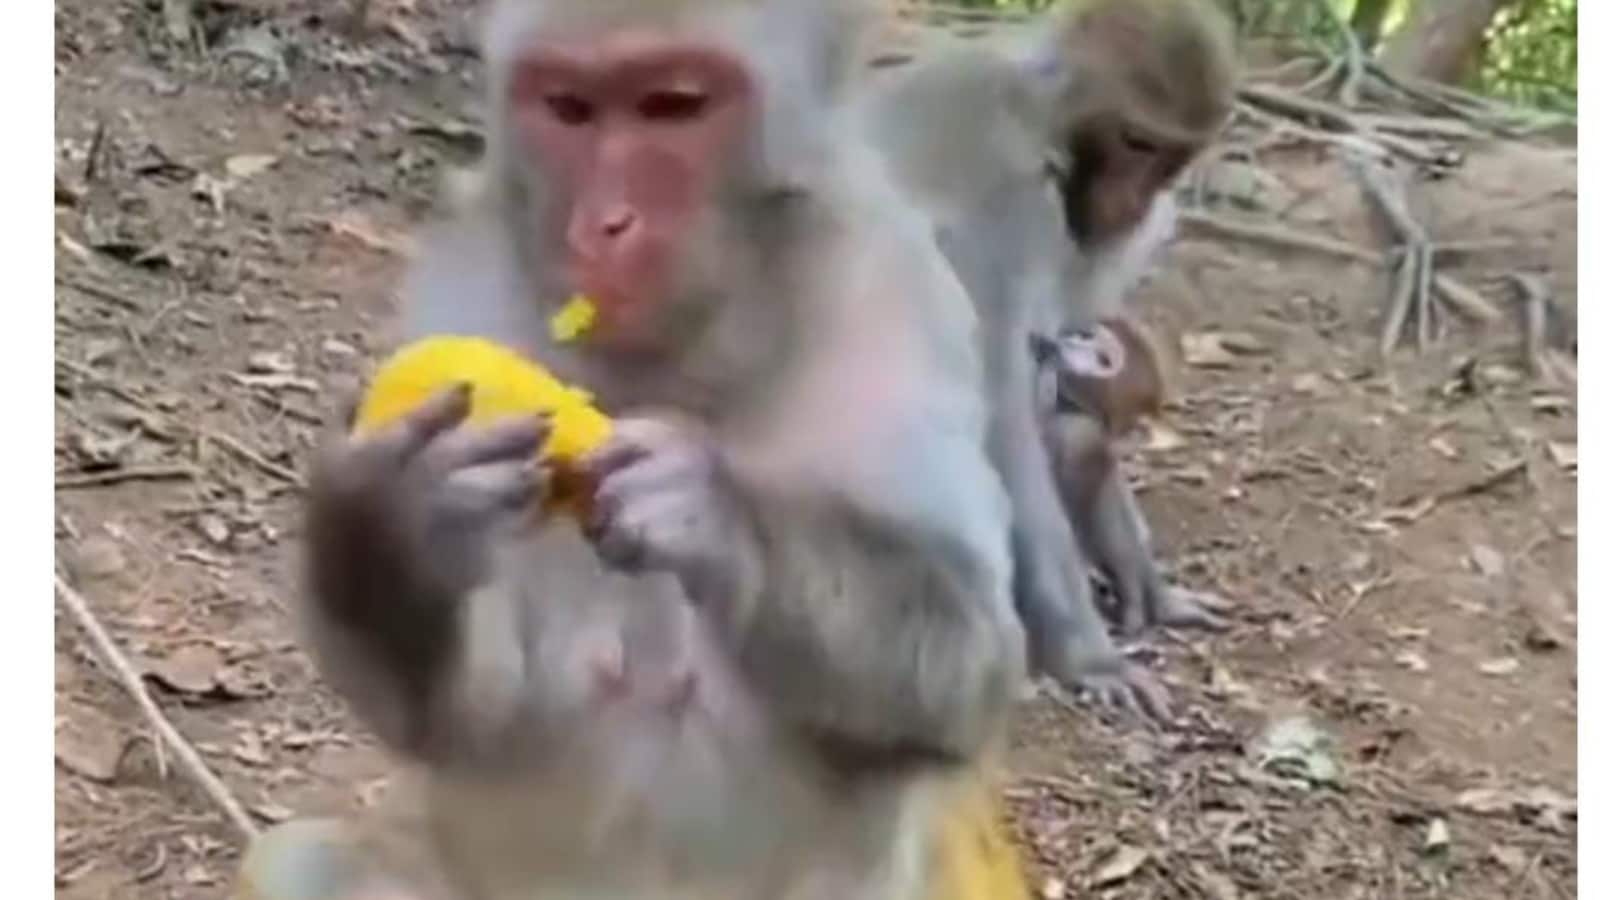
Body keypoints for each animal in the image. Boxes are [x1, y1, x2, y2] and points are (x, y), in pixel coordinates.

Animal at [277, 0, 1029, 898]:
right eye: (569, 107)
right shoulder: (460, 287)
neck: (692, 356)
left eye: (672, 105)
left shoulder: (897, 298)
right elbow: (472, 708)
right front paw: (389, 535)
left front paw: (716, 515)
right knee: (310, 865)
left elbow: (975, 656)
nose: (603, 226)